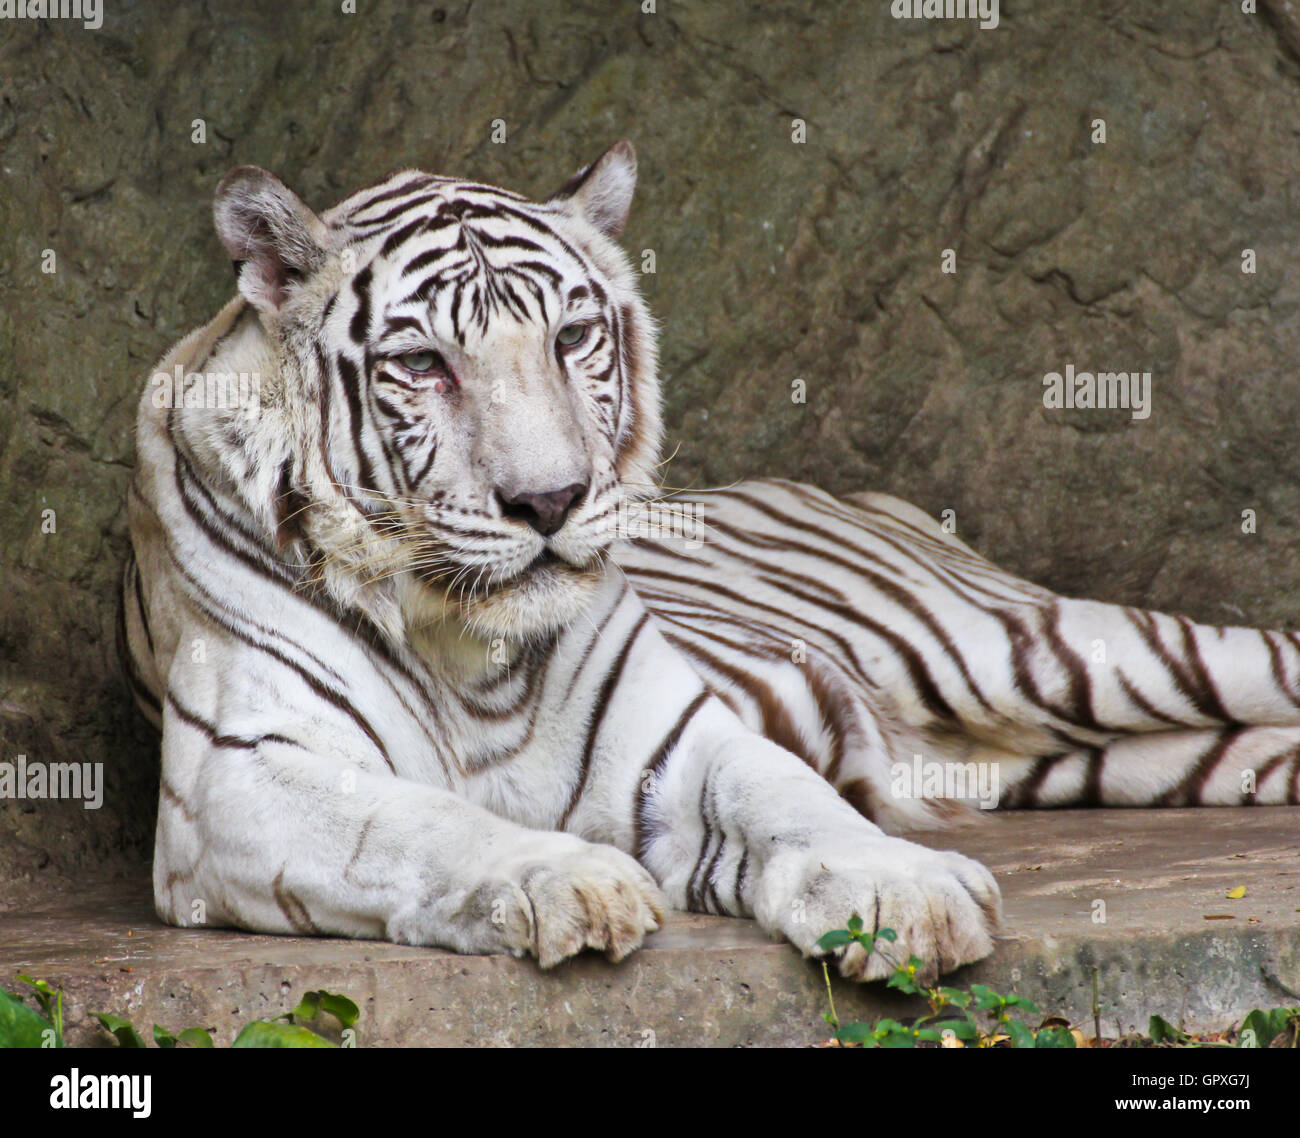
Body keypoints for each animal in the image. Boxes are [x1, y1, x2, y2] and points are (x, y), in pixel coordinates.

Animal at [121, 140, 1300, 984]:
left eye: (571, 340)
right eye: (422, 364)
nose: (550, 500)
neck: (469, 645)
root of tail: (856, 492)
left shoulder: (674, 740)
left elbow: (792, 797)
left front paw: (902, 890)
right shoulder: (239, 778)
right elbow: (420, 824)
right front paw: (566, 880)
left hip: (1053, 652)